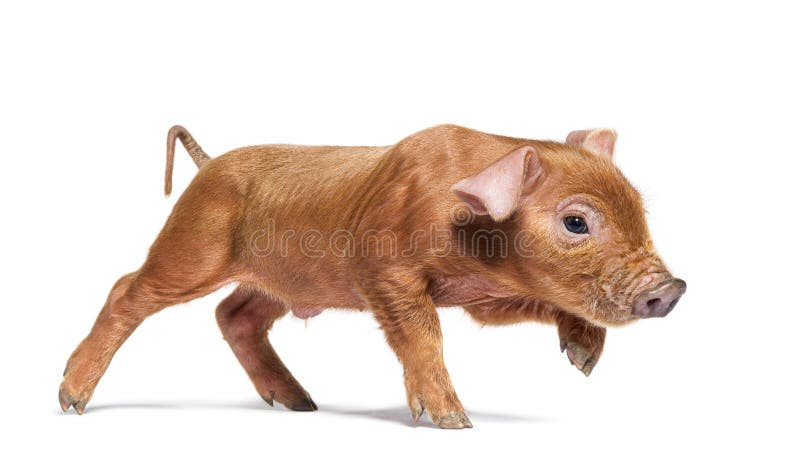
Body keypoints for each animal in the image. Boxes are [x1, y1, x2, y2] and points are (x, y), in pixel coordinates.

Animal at [59, 124, 686, 428]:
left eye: (638, 209)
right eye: (576, 221)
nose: (672, 289)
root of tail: (208, 165)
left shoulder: (484, 296)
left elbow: (540, 304)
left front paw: (583, 360)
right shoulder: (383, 272)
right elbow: (422, 336)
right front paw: (453, 422)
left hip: (282, 281)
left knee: (233, 313)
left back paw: (301, 405)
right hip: (192, 247)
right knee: (127, 290)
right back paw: (71, 401)